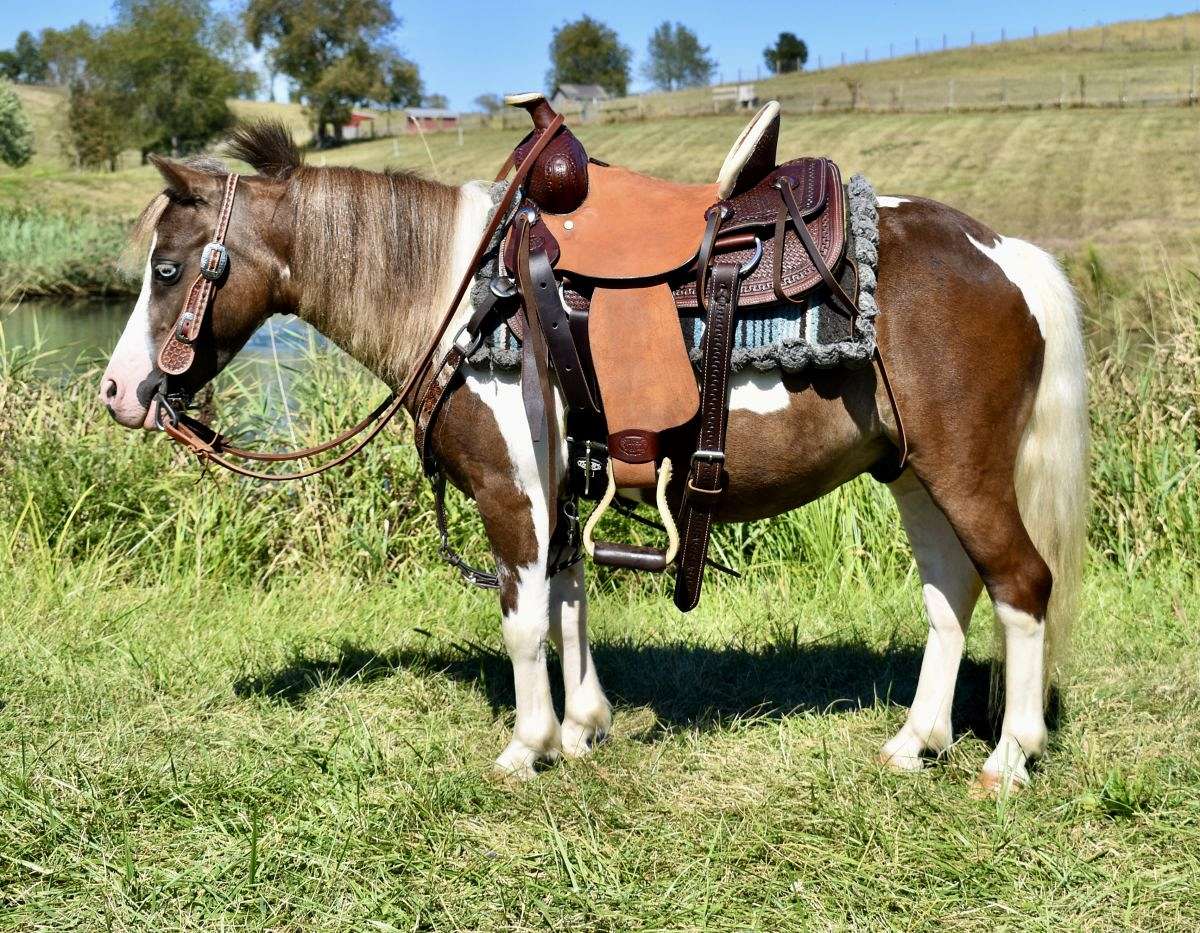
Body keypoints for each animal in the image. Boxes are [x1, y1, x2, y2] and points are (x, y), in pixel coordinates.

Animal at [99, 123, 1088, 791]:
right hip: (914, 471)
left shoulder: (511, 493)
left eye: (169, 268)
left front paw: (526, 745)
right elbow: (571, 602)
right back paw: (917, 740)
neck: (468, 301)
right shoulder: (564, 490)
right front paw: (582, 726)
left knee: (1021, 585)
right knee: (951, 599)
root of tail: (1004, 253)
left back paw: (1009, 755)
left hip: (965, 469)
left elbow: (524, 619)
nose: (116, 391)